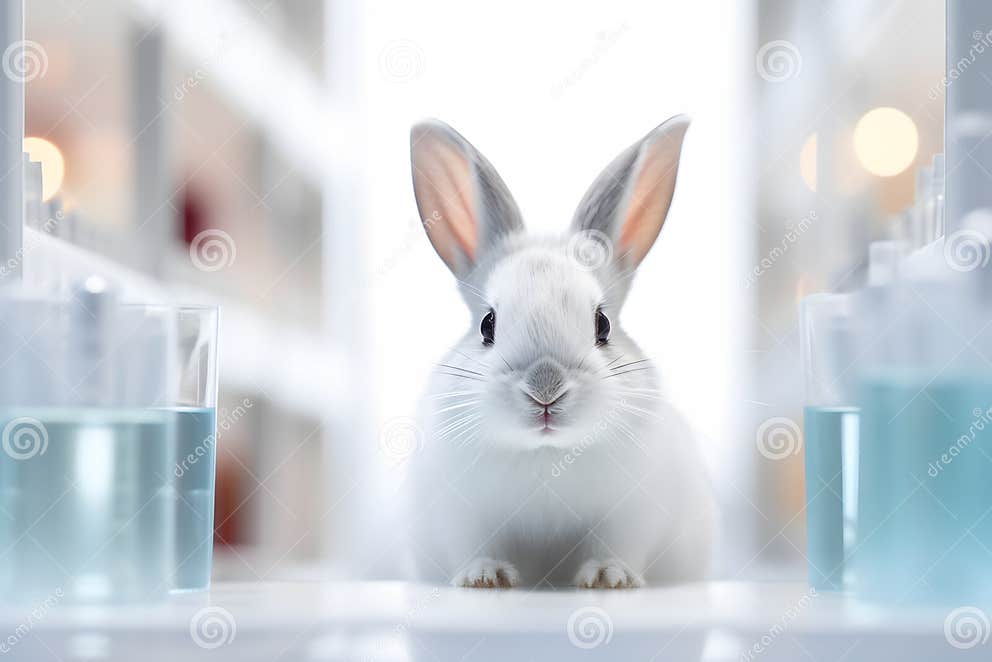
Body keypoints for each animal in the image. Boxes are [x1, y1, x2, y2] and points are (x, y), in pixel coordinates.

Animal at [406, 115, 716, 589]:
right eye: (487, 325)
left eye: (602, 325)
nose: (545, 389)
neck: (545, 455)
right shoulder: (459, 516)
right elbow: (475, 547)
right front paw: (485, 577)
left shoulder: (631, 516)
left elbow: (616, 546)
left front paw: (608, 577)